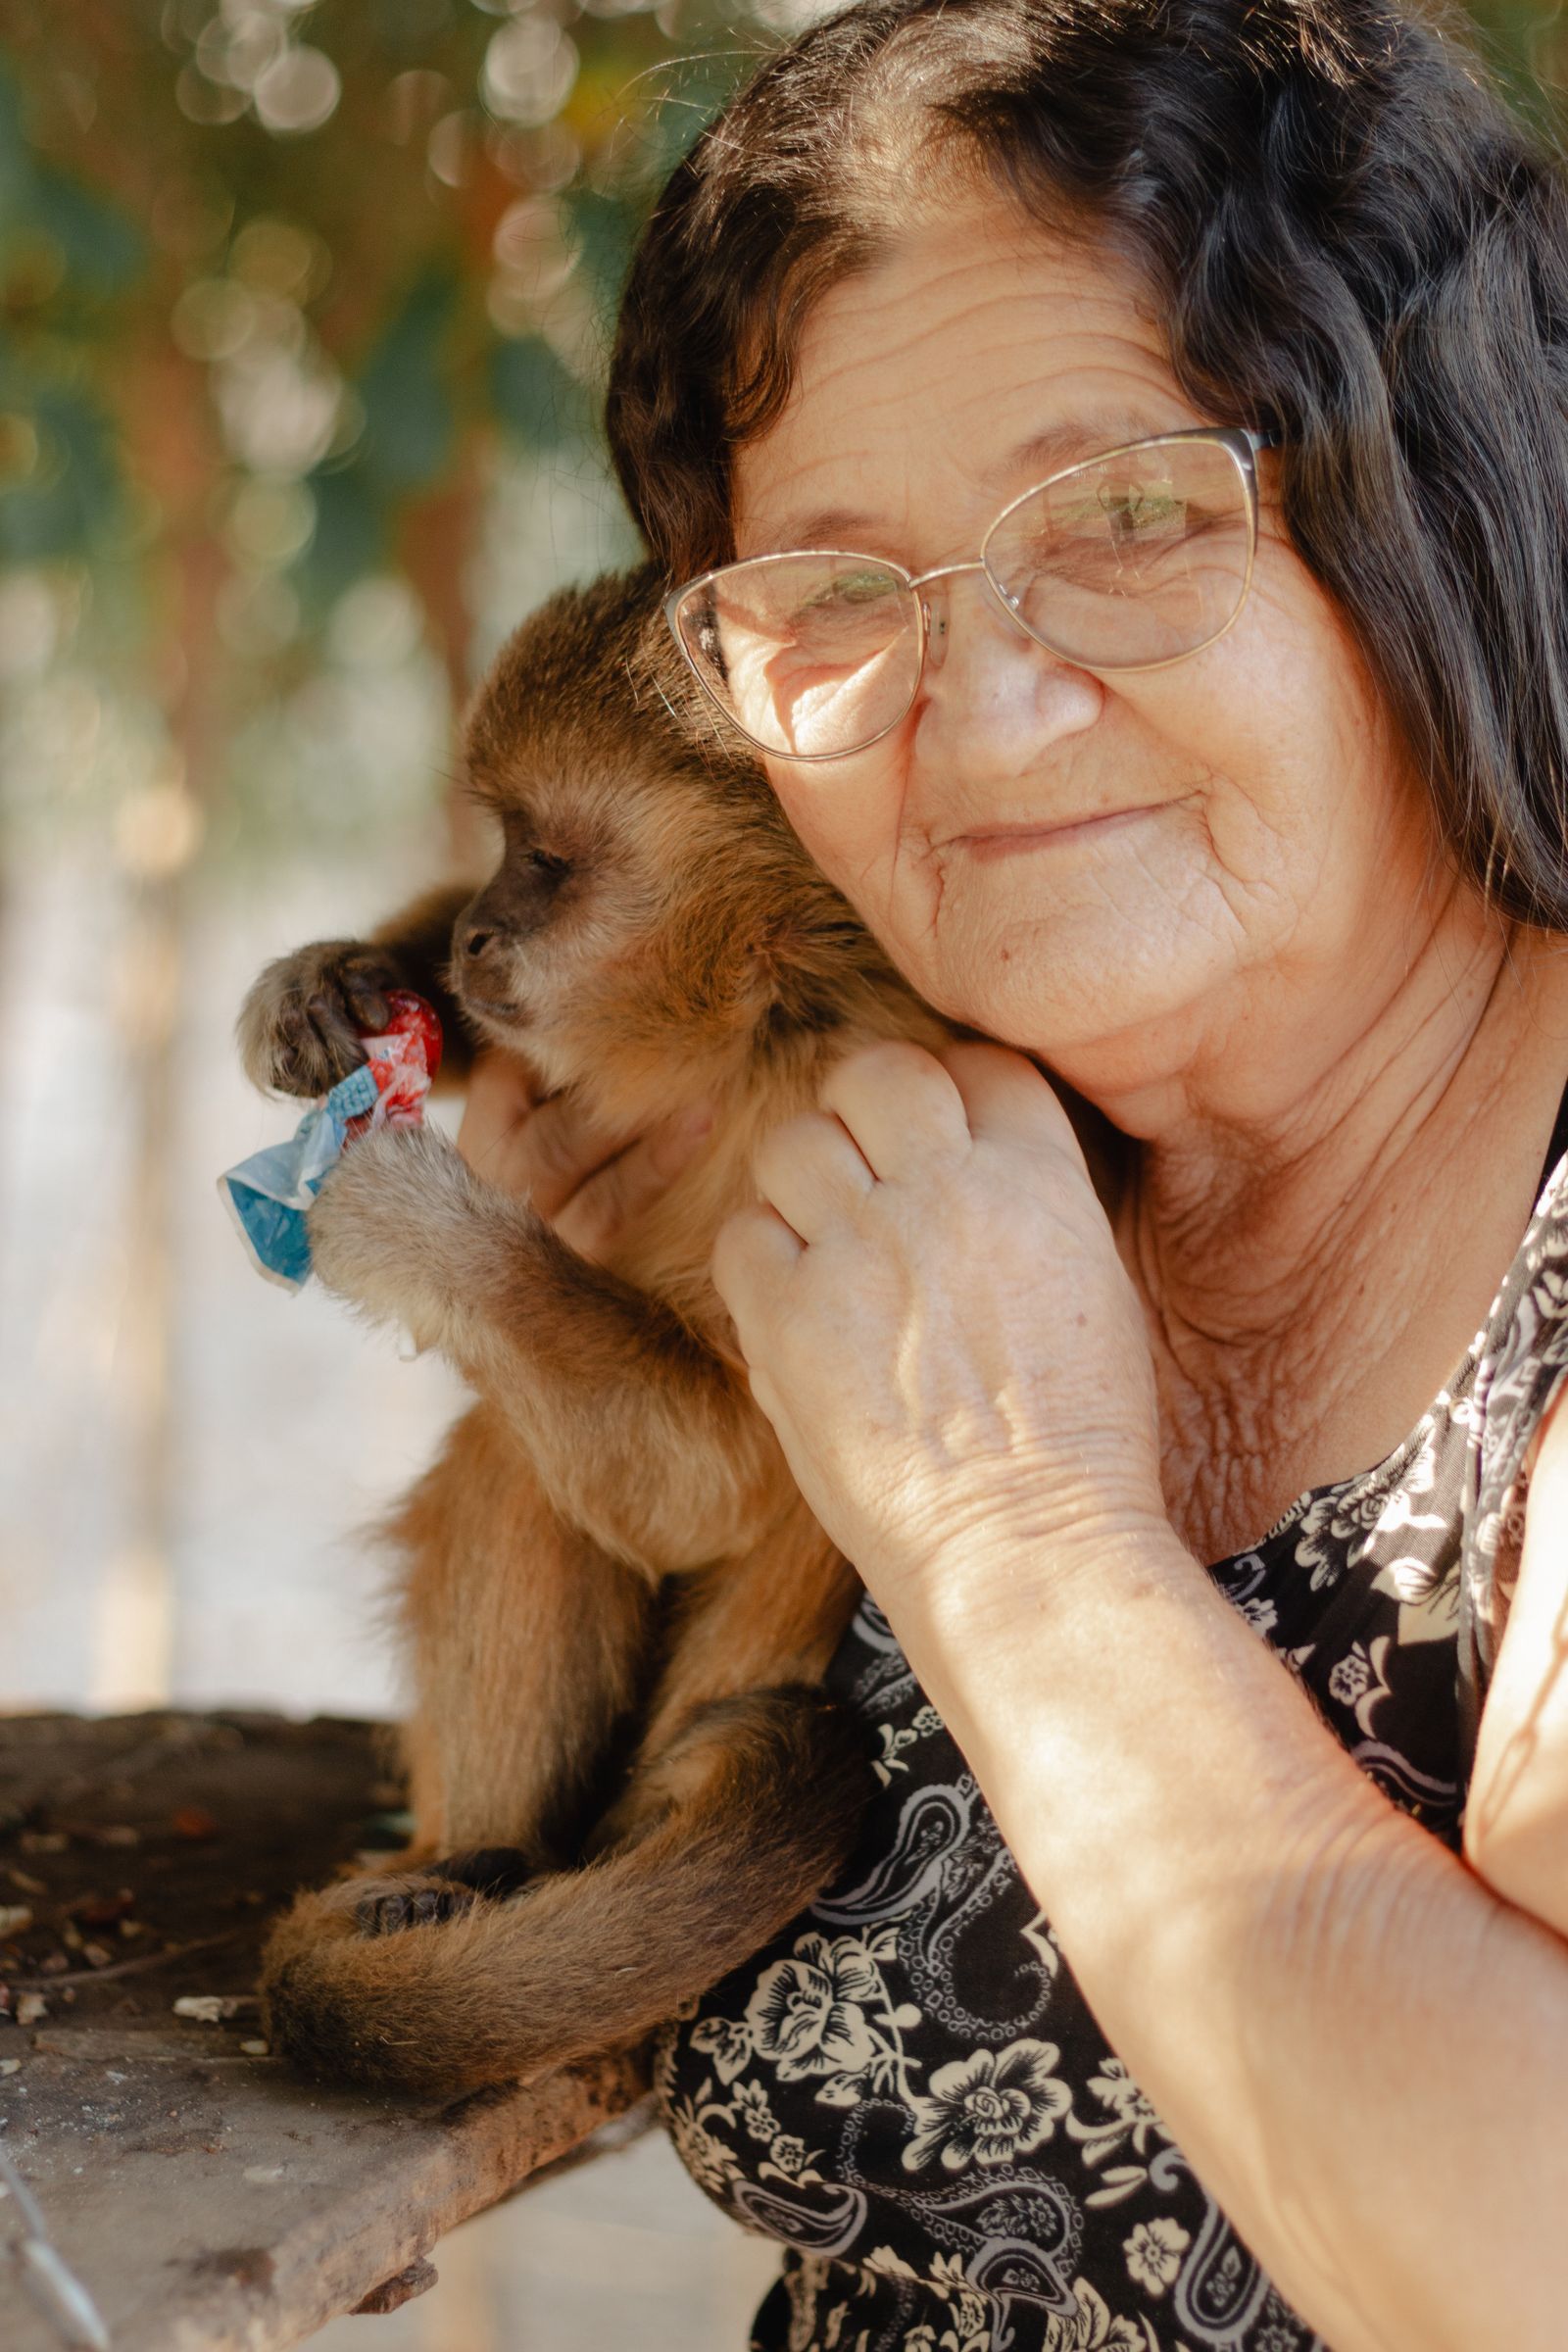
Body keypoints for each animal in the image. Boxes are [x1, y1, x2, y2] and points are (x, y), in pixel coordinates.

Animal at [239, 565, 956, 2101]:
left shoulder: (843, 1092)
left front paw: (406, 1219)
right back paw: (474, 1863)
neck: (751, 1013)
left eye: (549, 862)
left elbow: (732, 1481)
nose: (471, 933)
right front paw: (340, 985)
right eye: (497, 847)